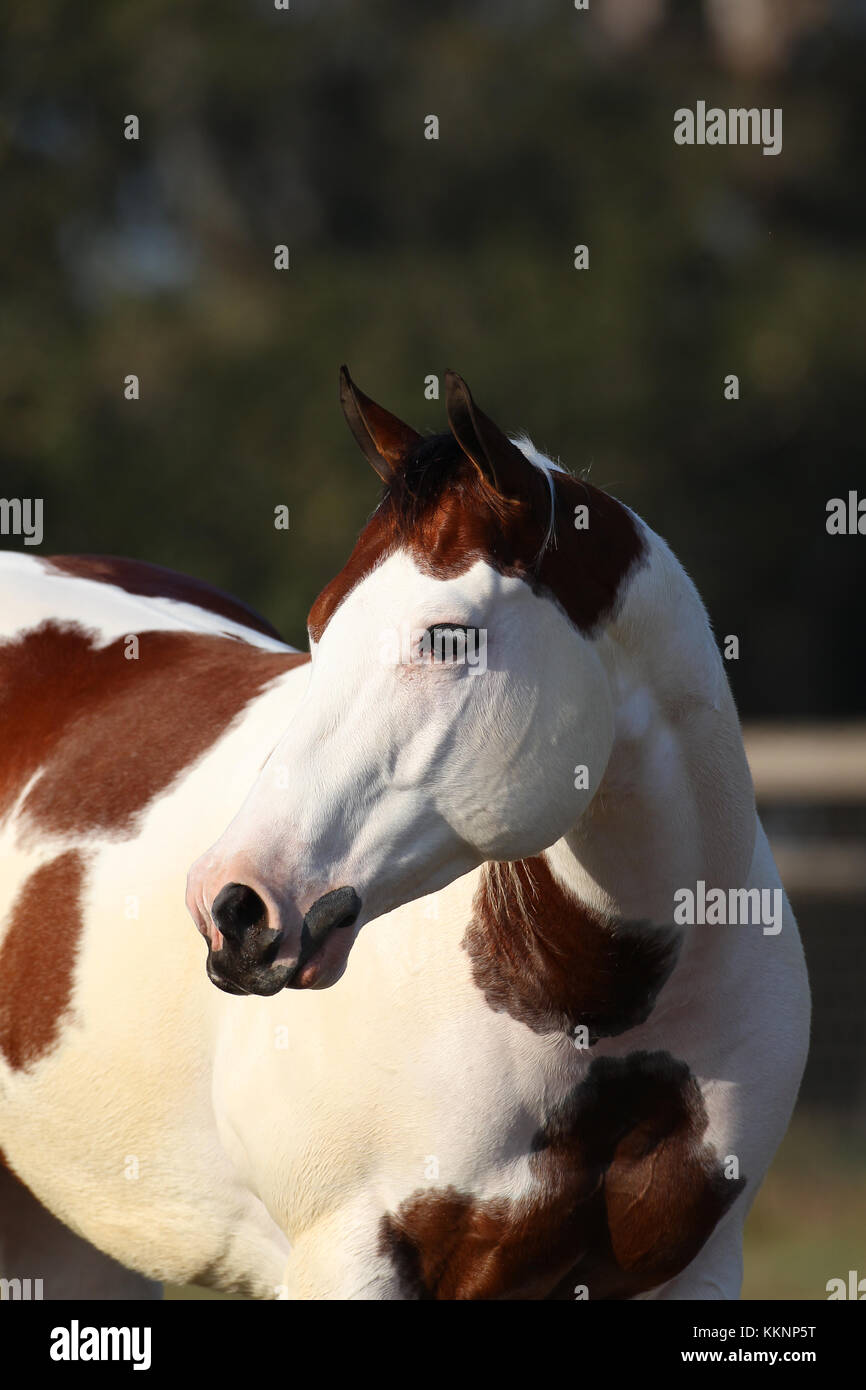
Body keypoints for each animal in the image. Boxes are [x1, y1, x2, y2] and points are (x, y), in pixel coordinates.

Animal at [0, 368, 809, 1299]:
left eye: (446, 637)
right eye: (320, 626)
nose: (232, 907)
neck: (589, 1006)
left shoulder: (697, 1268)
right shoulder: (350, 1255)